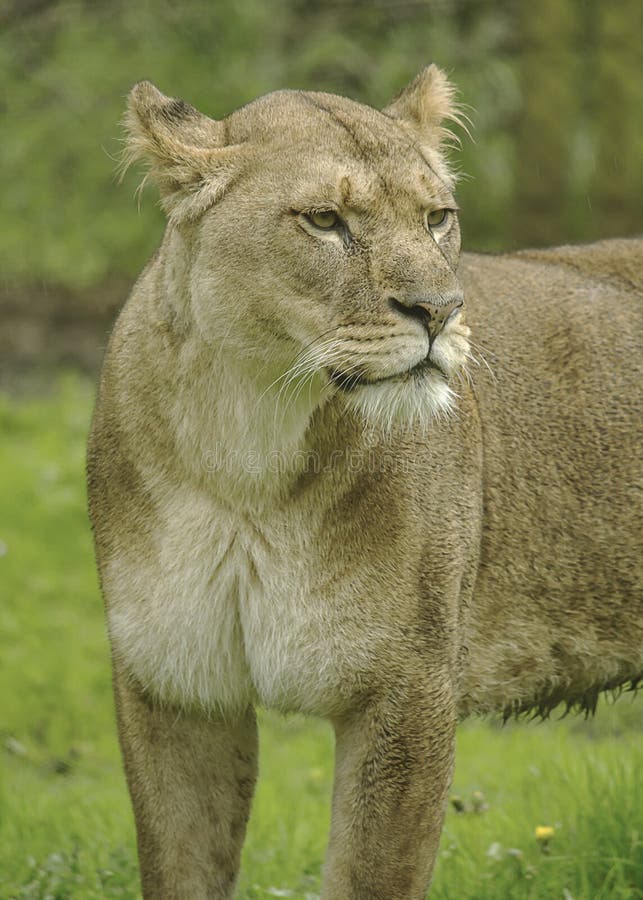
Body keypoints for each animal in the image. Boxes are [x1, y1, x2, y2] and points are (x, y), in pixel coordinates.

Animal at [87, 65, 642, 899]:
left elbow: (369, 876)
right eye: (324, 220)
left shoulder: (405, 688)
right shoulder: (175, 686)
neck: (243, 443)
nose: (439, 310)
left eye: (437, 217)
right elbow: (180, 870)